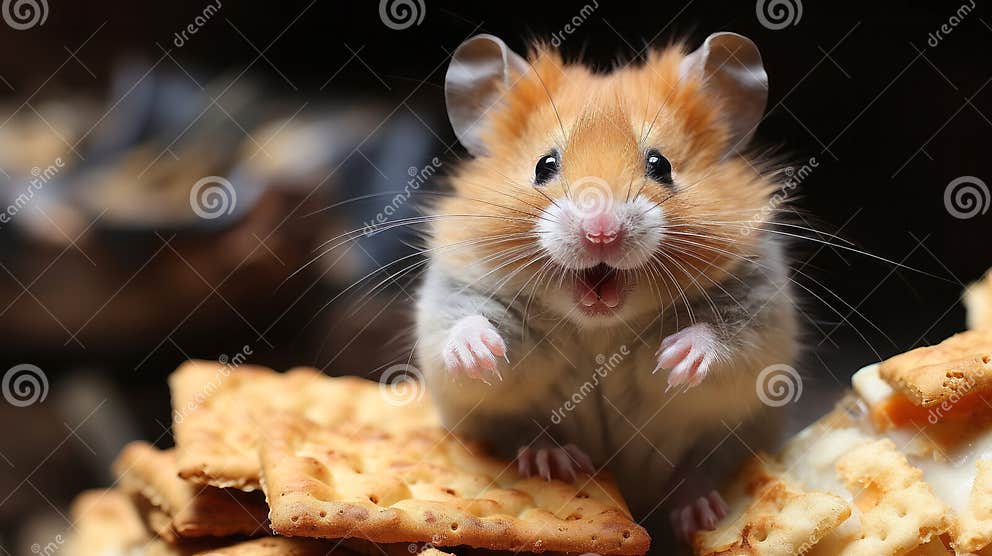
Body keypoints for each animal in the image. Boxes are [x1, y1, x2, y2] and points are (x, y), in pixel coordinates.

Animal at [416, 32, 798, 546]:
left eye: (661, 164)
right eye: (544, 165)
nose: (601, 232)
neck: (600, 326)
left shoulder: (757, 301)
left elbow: (724, 337)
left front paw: (677, 358)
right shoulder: (457, 288)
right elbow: (469, 328)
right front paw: (479, 352)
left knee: (699, 467)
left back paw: (697, 509)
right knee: (524, 435)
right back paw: (554, 460)